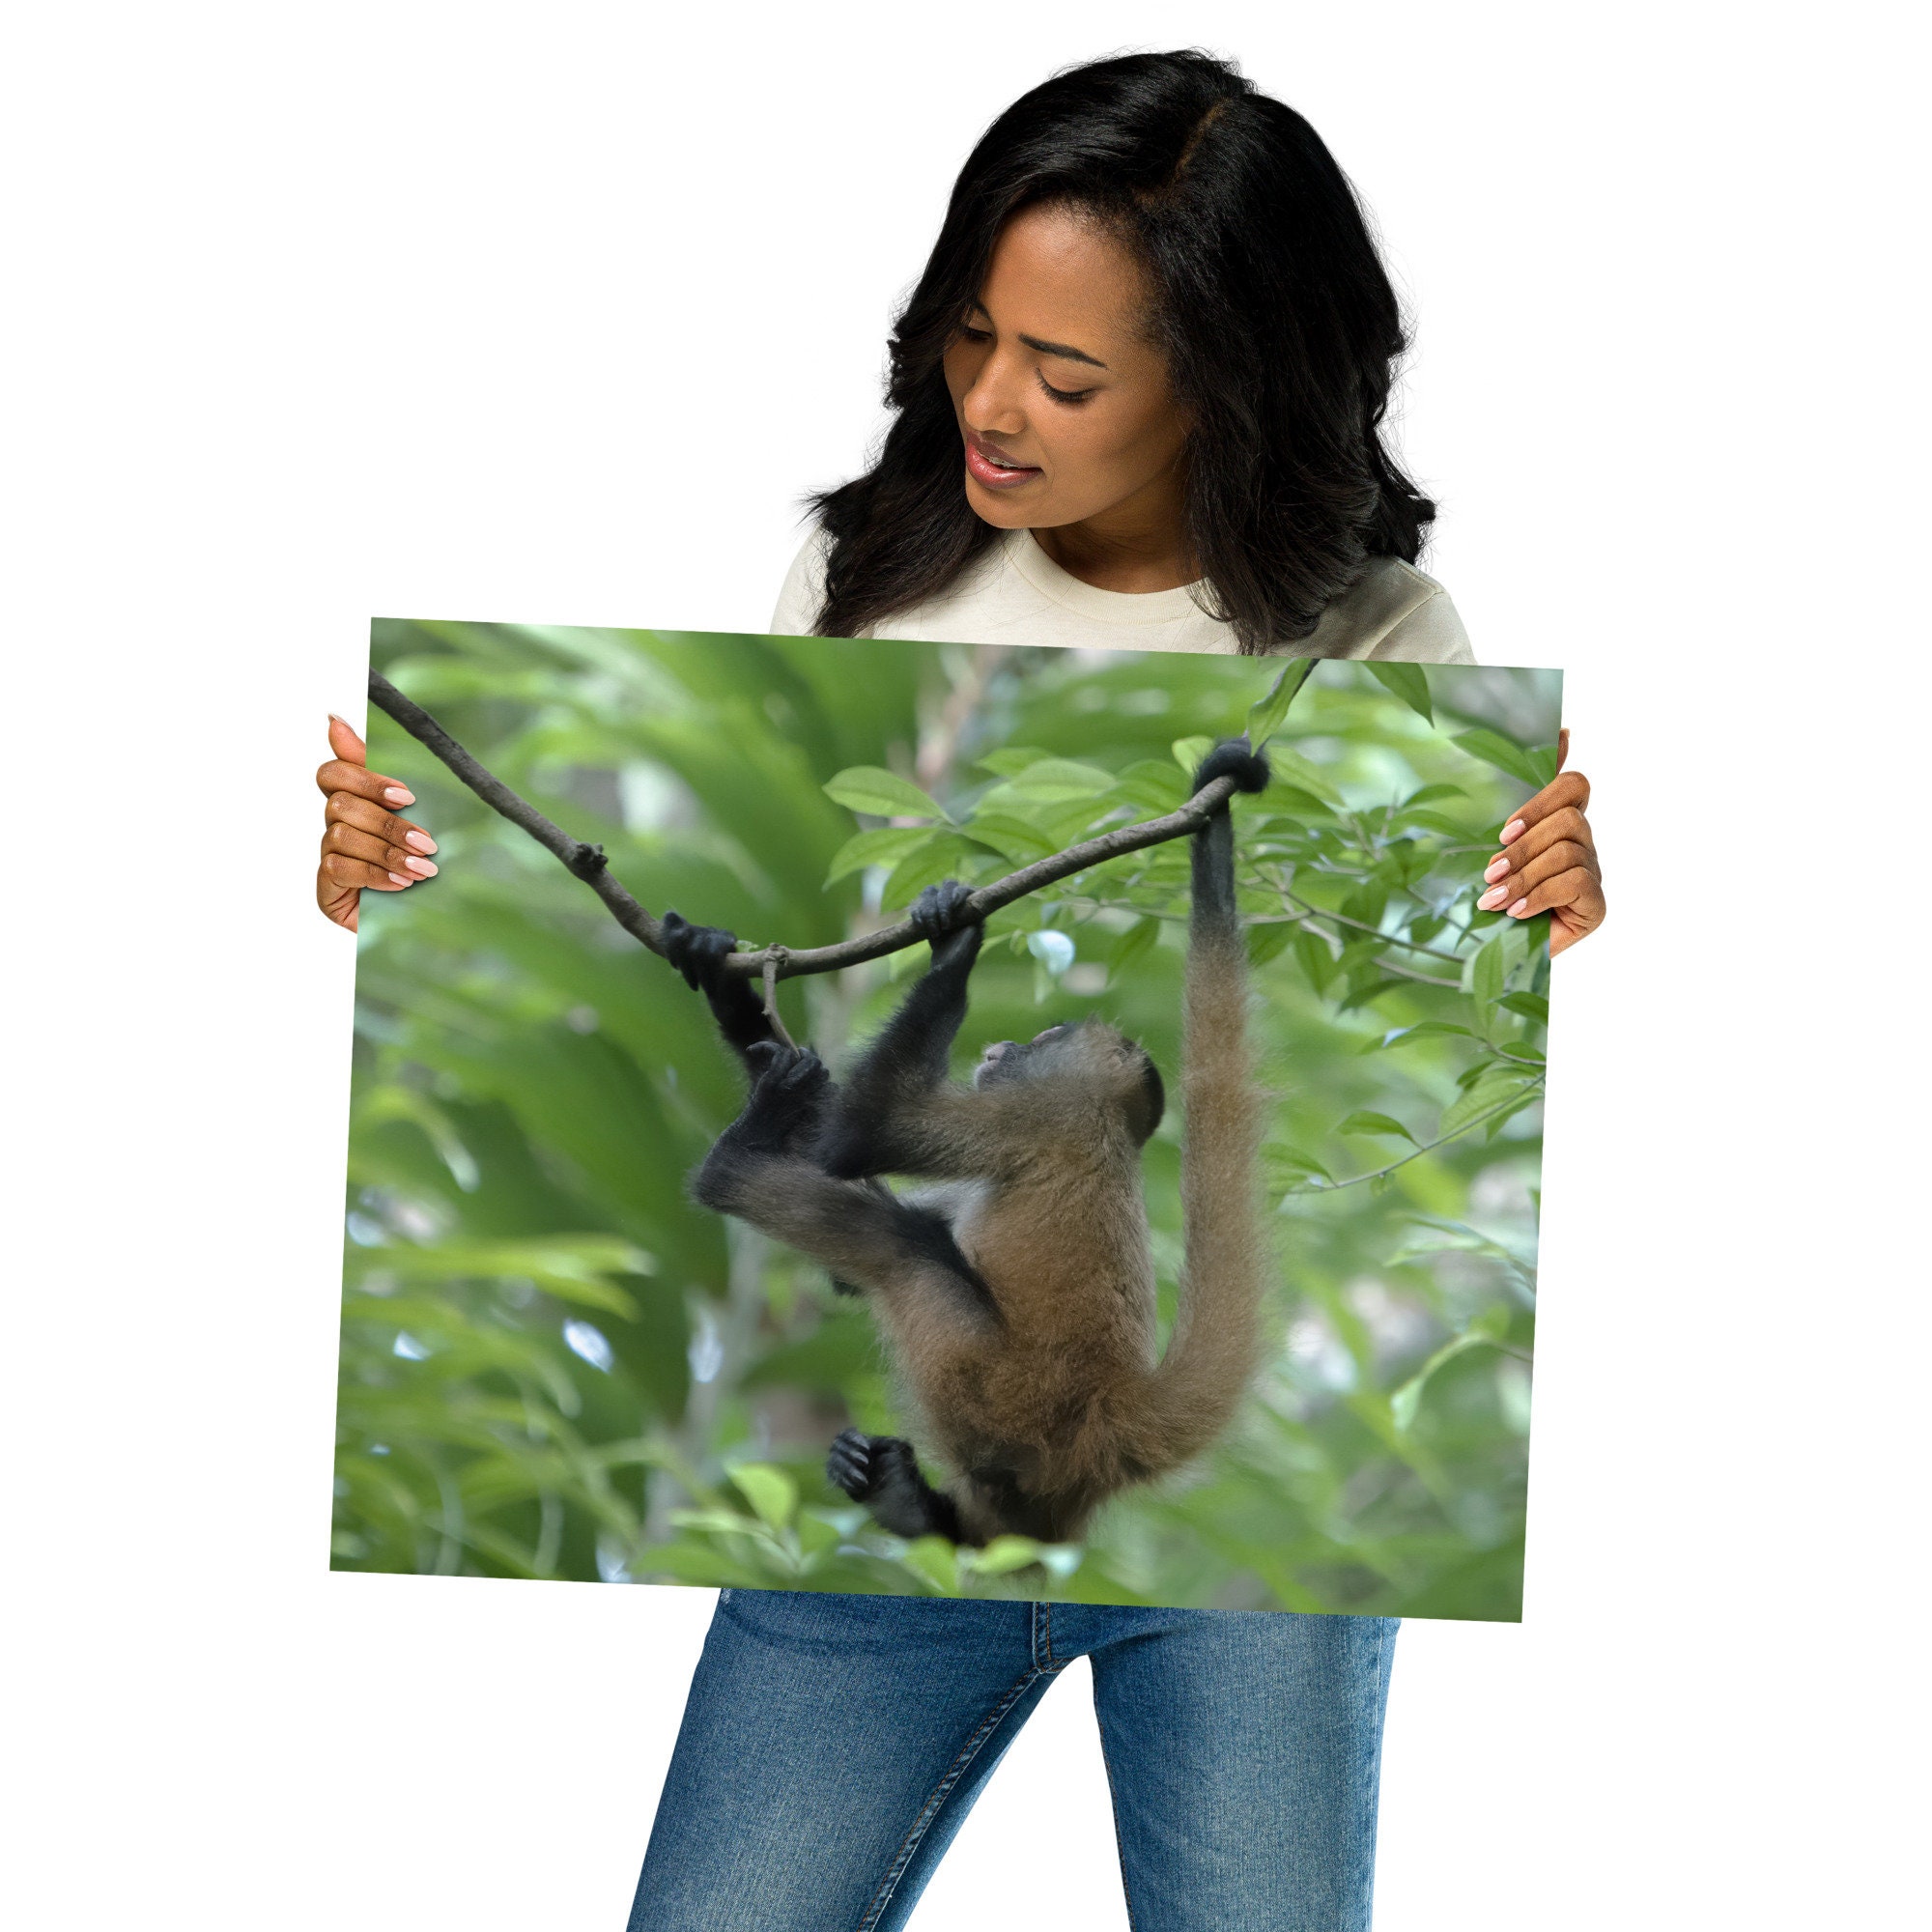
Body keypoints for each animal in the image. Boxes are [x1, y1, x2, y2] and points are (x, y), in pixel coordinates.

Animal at [662, 738, 1270, 1548]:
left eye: (1041, 1040)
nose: (1002, 1046)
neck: (1110, 1126)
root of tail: (1115, 1409)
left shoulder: (1035, 1111)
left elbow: (862, 1136)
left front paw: (953, 947)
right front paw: (721, 981)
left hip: (995, 1389)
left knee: (902, 1247)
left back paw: (737, 1153)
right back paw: (913, 1505)